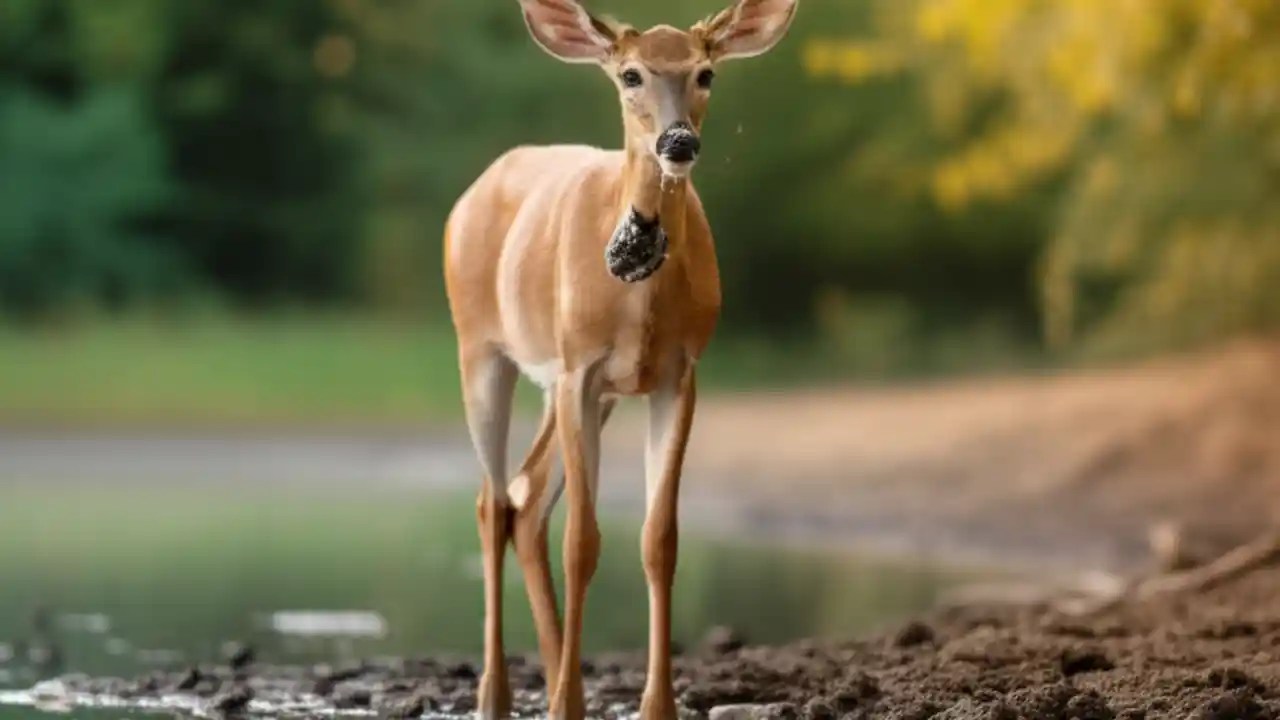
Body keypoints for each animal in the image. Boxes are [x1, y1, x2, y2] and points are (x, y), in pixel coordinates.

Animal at [443, 1, 798, 718]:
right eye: (630, 74)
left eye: (707, 73)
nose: (678, 142)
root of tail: (474, 190)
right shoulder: (579, 367)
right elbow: (583, 541)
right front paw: (565, 705)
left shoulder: (677, 375)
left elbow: (659, 540)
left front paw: (655, 705)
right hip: (482, 348)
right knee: (492, 502)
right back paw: (497, 694)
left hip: (577, 390)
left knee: (526, 498)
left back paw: (555, 675)